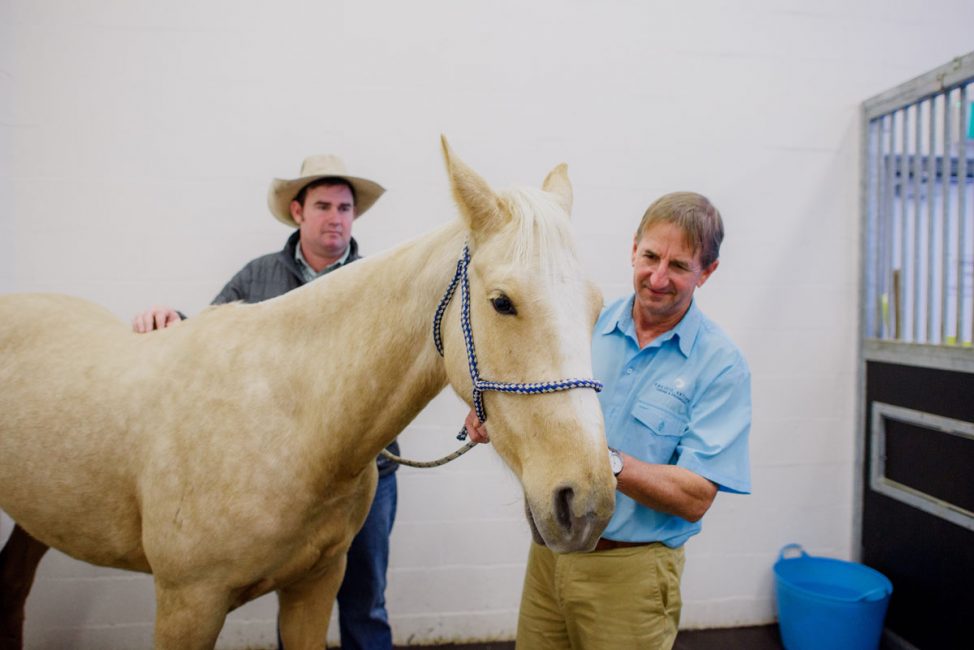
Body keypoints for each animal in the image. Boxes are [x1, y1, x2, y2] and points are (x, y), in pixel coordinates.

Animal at [0, 137, 615, 649]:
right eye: (502, 302)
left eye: (595, 306)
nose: (585, 503)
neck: (288, 418)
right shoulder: (187, 603)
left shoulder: (315, 585)